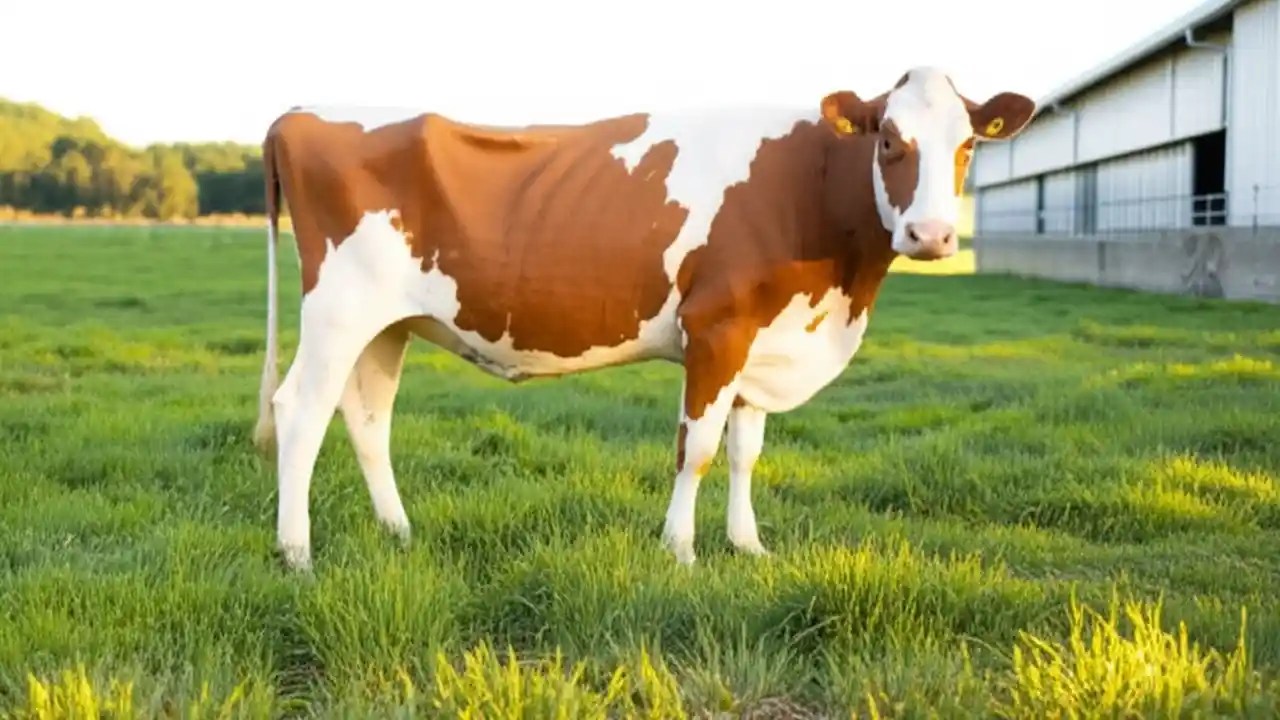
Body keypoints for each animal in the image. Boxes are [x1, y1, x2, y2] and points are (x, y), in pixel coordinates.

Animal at [252, 66, 1035, 571]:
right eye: (889, 140)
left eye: (969, 144)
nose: (932, 235)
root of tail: (299, 114)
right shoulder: (717, 328)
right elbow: (699, 448)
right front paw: (681, 549)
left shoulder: (766, 341)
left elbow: (747, 451)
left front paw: (748, 546)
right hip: (337, 309)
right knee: (300, 410)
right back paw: (296, 552)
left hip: (388, 324)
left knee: (366, 417)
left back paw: (399, 532)